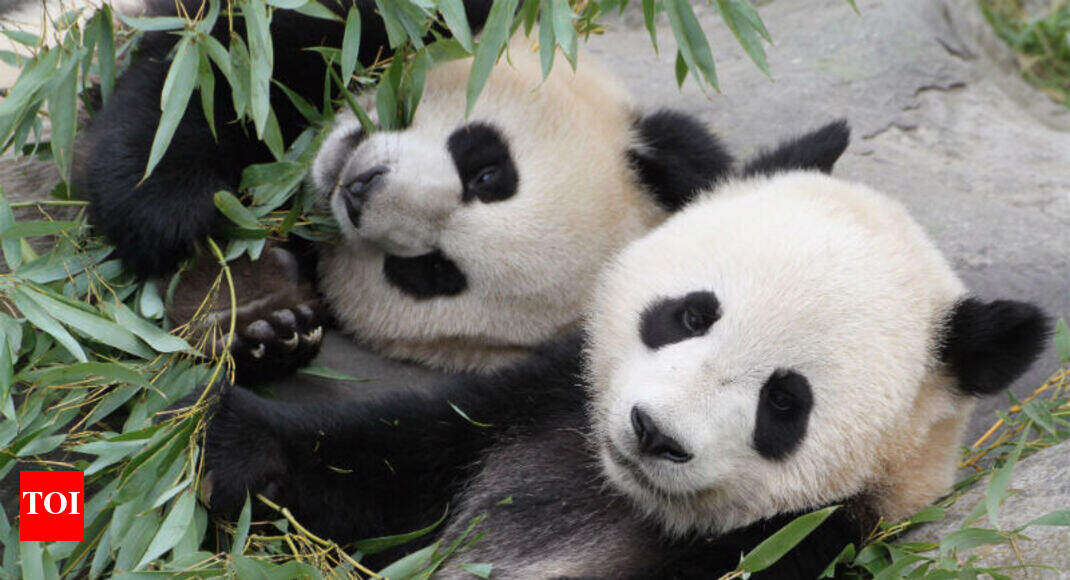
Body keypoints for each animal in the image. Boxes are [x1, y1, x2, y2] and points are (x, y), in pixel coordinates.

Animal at [76, 1, 733, 377]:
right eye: (487, 174)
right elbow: (211, 63)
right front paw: (176, 212)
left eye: (431, 271)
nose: (360, 187)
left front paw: (266, 323)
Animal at [203, 123, 1051, 578]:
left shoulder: (794, 542)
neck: (625, 497)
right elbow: (386, 466)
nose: (653, 433)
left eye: (785, 401)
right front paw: (228, 444)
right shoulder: (541, 409)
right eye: (688, 315)